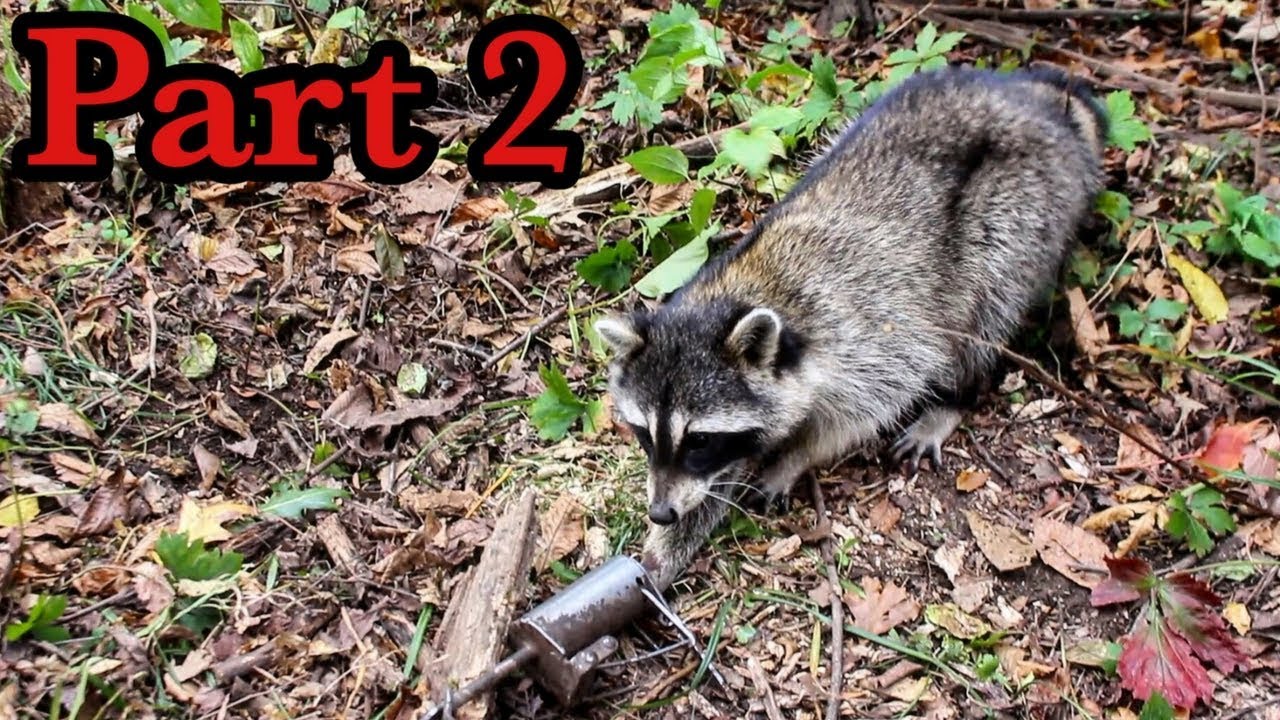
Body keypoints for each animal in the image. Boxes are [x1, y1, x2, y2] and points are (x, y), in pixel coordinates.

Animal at [596, 66, 1108, 588]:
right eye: (643, 433)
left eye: (699, 439)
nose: (660, 513)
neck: (743, 295)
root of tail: (1037, 100)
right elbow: (715, 480)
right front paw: (661, 552)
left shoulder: (873, 339)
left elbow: (859, 414)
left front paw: (795, 457)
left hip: (1022, 202)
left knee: (985, 302)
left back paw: (957, 395)